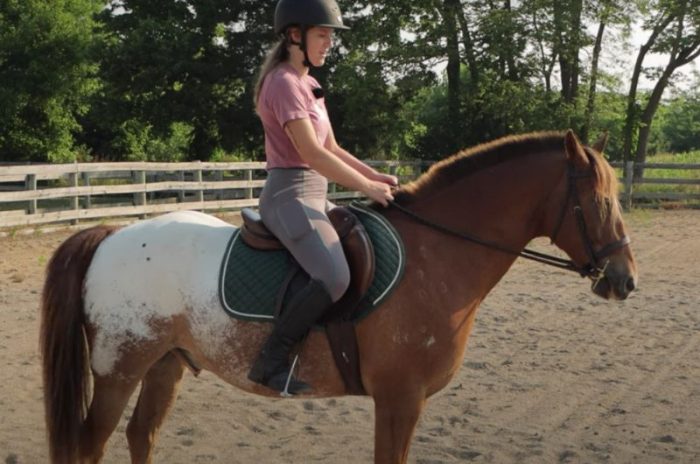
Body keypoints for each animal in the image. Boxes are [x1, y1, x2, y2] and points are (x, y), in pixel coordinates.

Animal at [40, 130, 637, 464]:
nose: (625, 280)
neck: (436, 254)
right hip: (119, 368)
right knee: (91, 445)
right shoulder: (401, 399)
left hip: (166, 364)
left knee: (142, 436)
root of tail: (110, 234)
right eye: (600, 201)